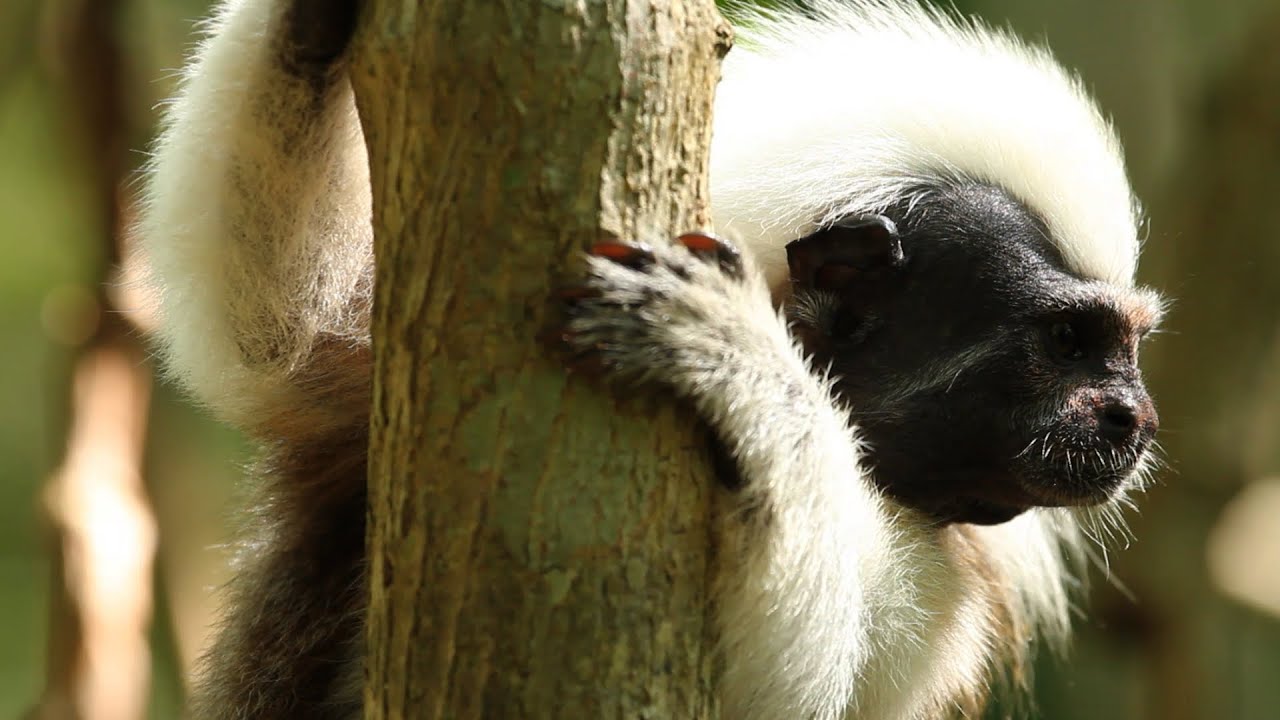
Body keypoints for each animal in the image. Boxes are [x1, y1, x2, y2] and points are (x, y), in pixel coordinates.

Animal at [136, 0, 1164, 718]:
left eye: (1125, 351)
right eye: (1069, 344)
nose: (1137, 420)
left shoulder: (943, 602)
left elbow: (773, 690)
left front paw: (740, 356)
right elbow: (273, 339)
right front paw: (312, 22)